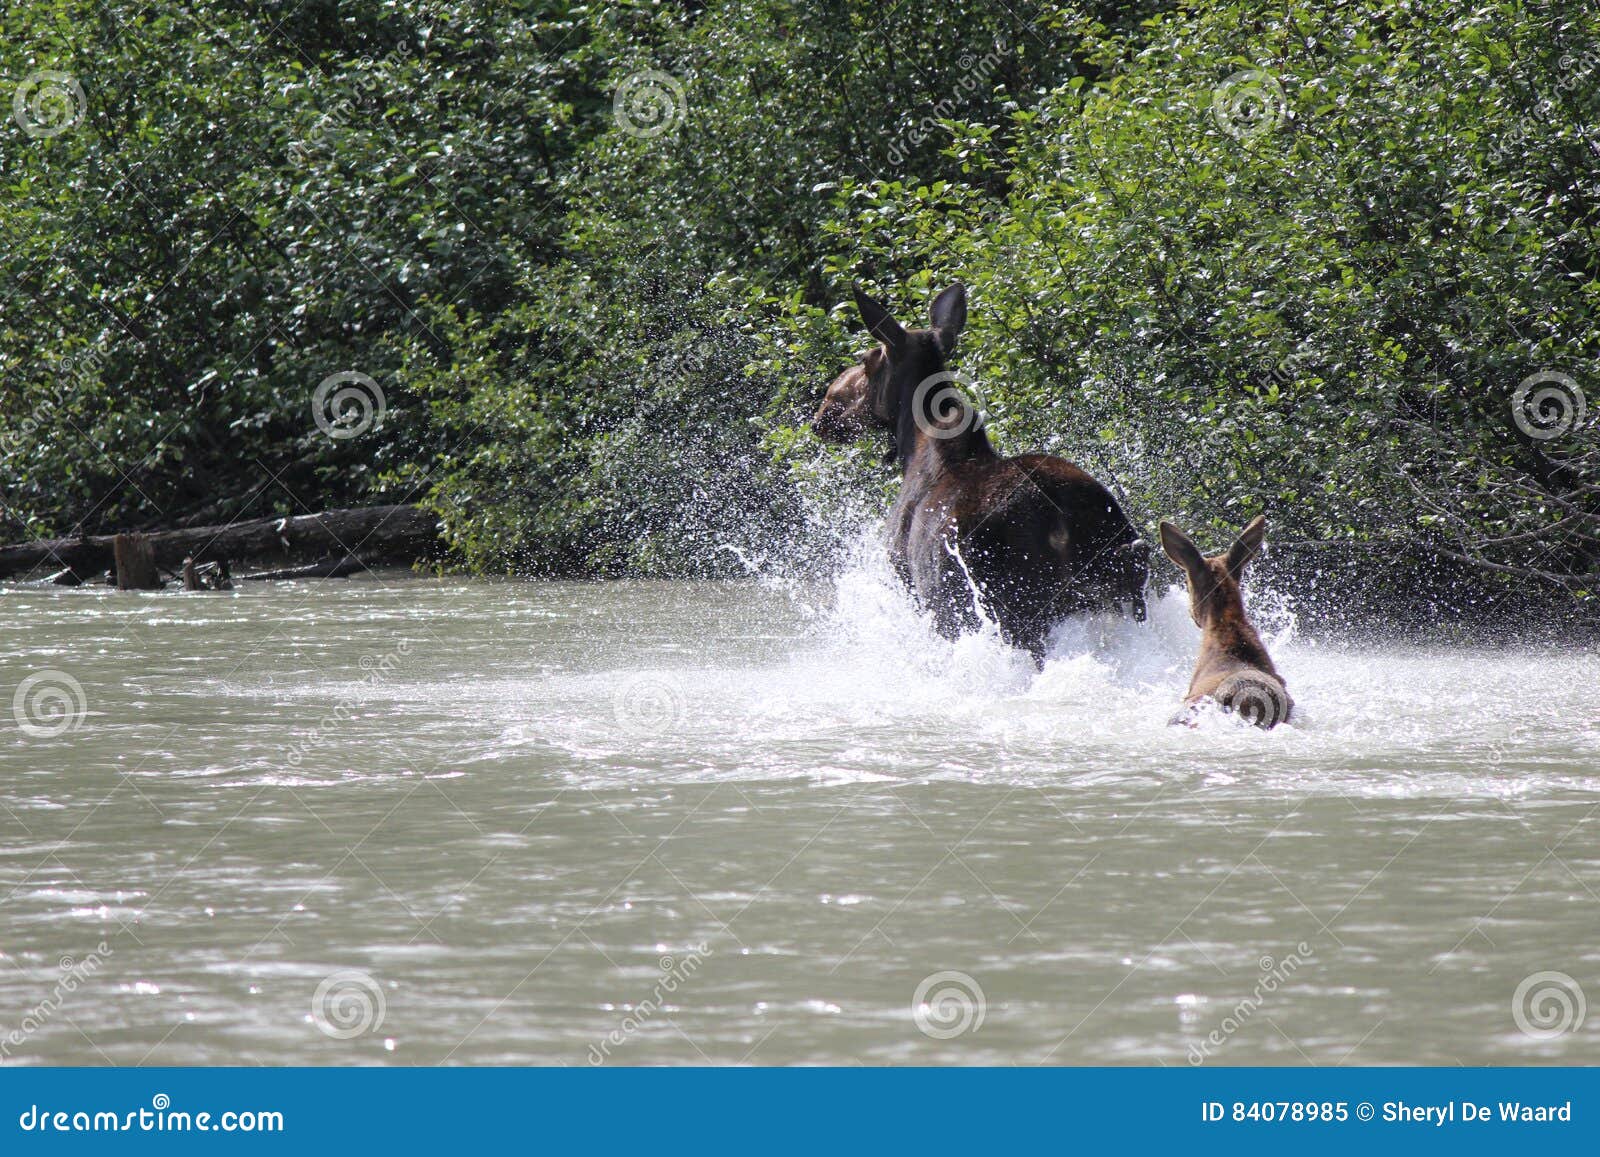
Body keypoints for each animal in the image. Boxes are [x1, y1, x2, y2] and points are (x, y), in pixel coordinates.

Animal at [841, 282, 1149, 665]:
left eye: (867, 360)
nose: (827, 410)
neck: (913, 446)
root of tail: (1060, 517)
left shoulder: (914, 588)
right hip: (1127, 583)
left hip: (1013, 611)